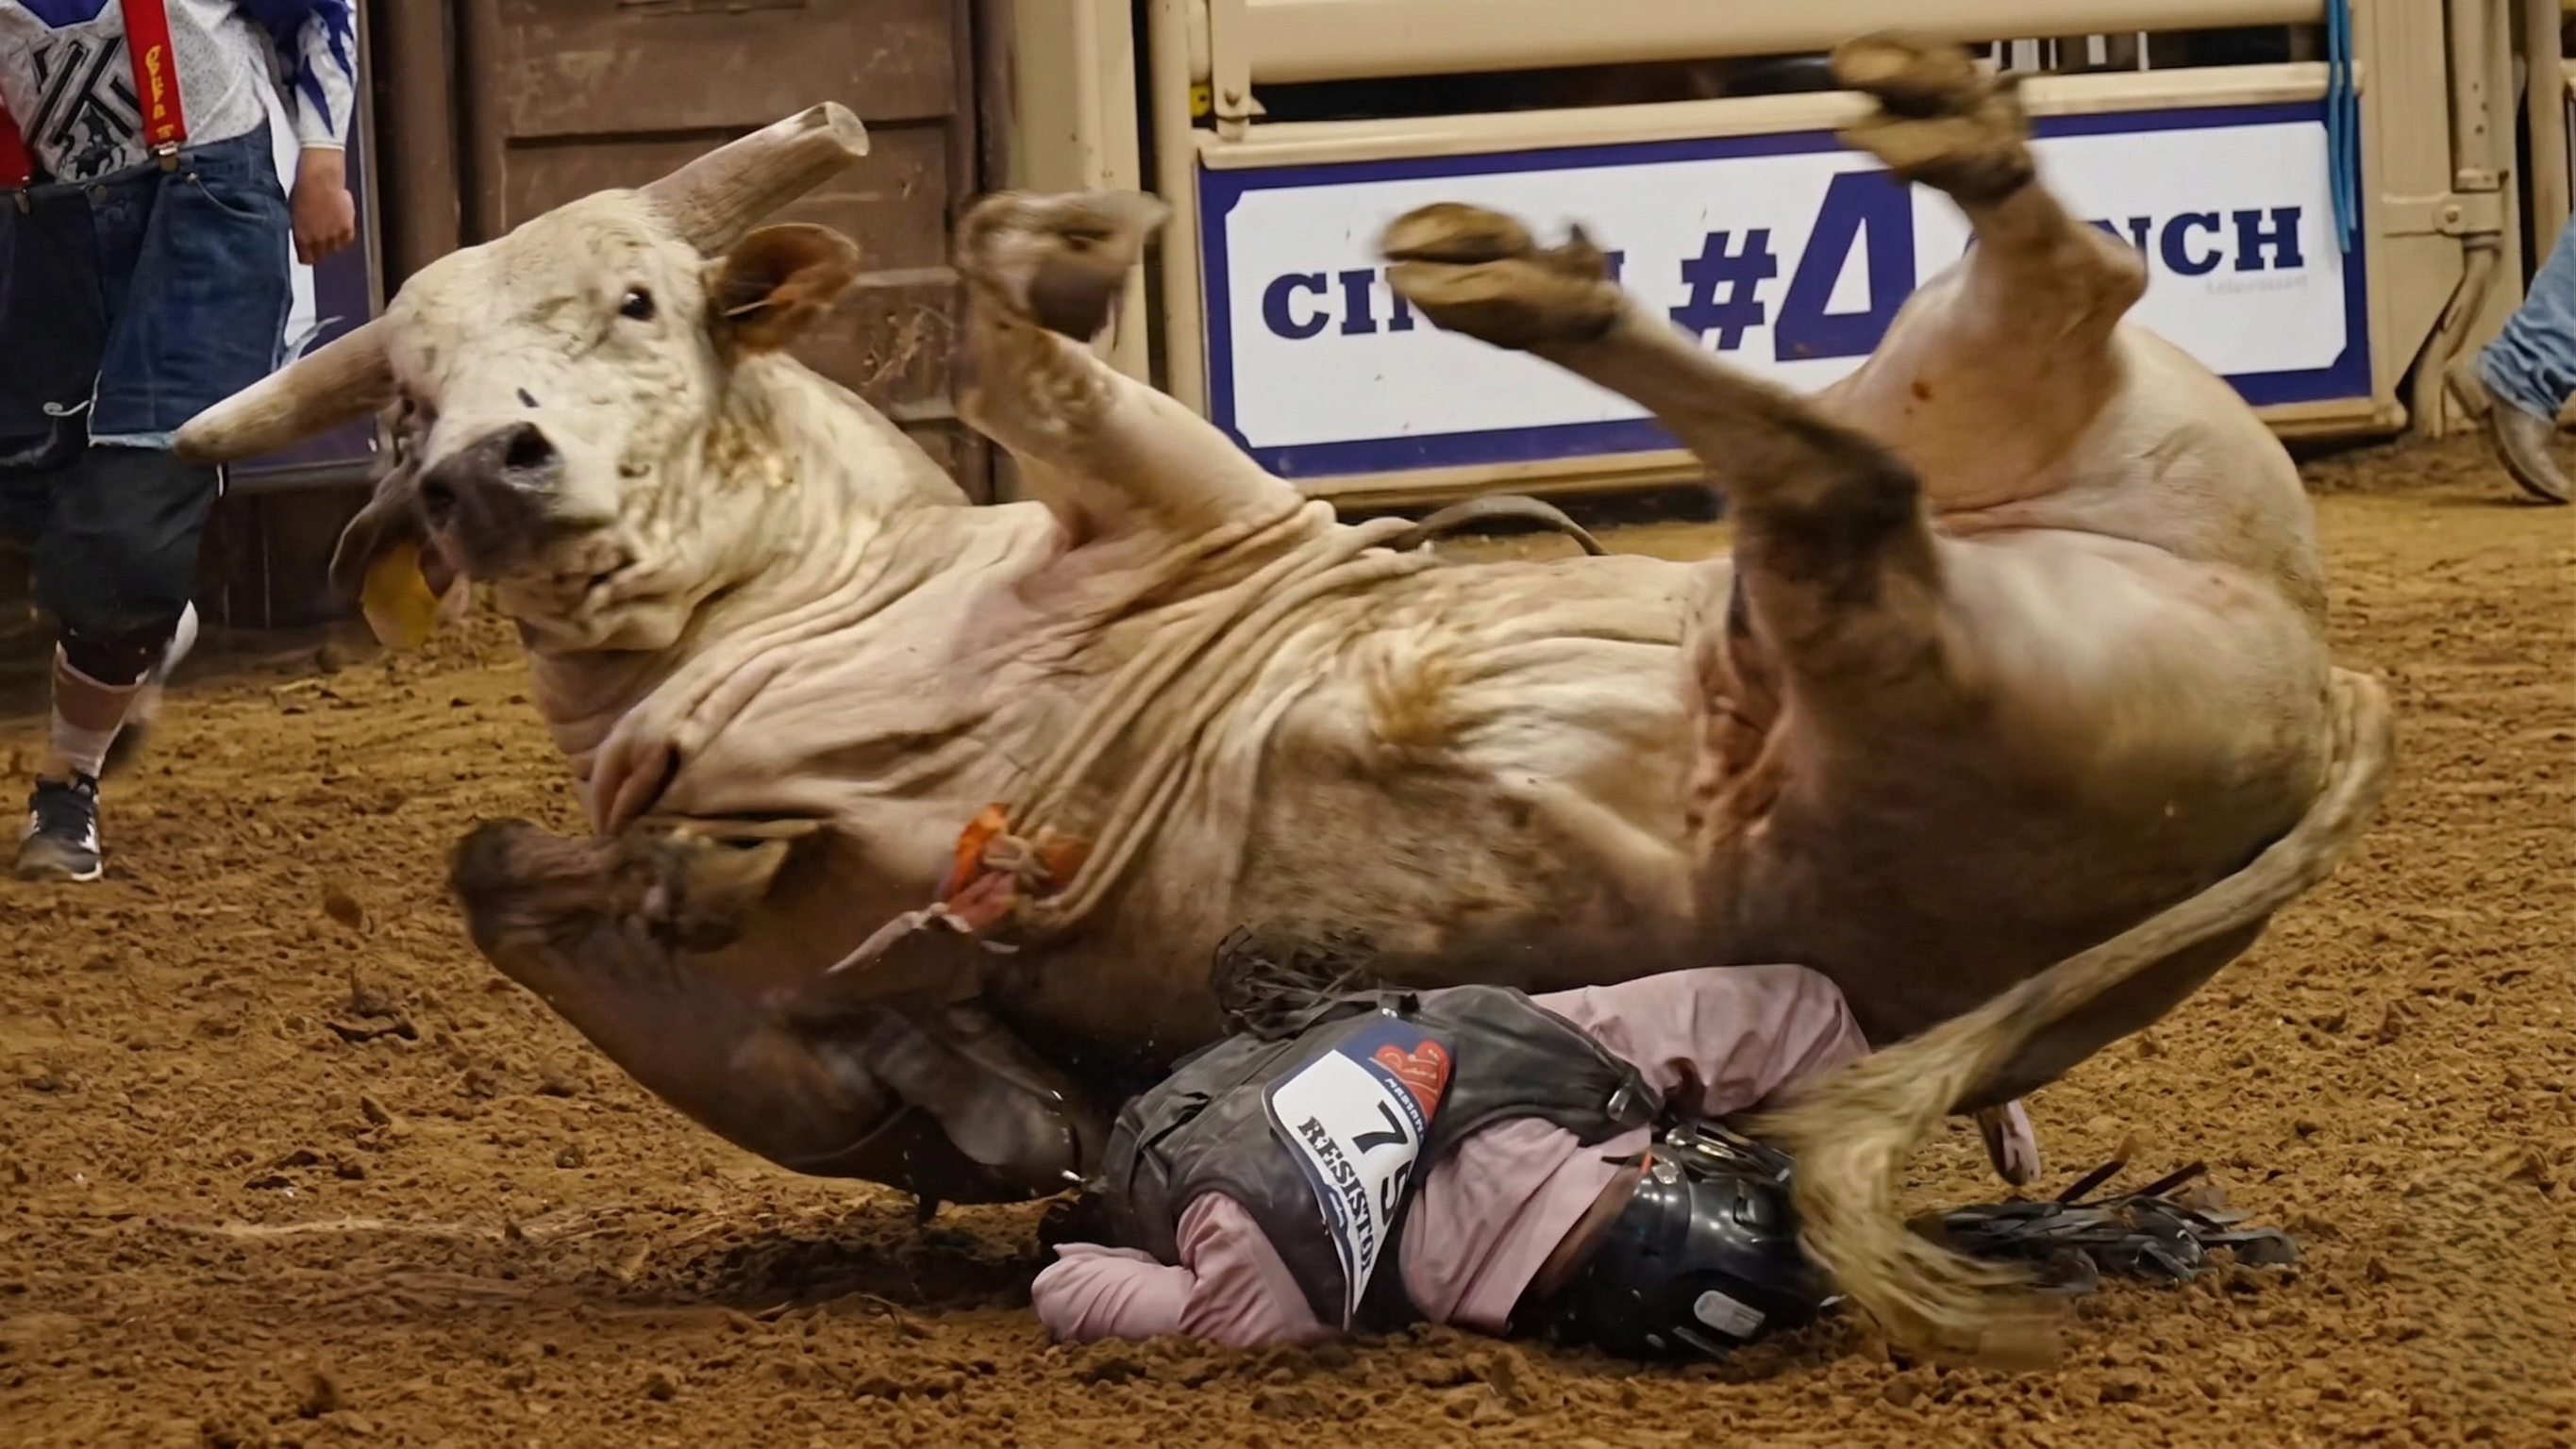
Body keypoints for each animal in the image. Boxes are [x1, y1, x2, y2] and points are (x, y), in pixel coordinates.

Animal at [173, 37, 2391, 1360]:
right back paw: (1562, 269)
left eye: (636, 300)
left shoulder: (1188, 511)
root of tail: (2321, 683)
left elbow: (1012, 331)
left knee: (2017, 329)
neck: (772, 608)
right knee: (1853, 482)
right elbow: (563, 888)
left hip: (2048, 423)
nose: (486, 468)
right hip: (1918, 653)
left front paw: (1072, 243)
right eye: (404, 400)